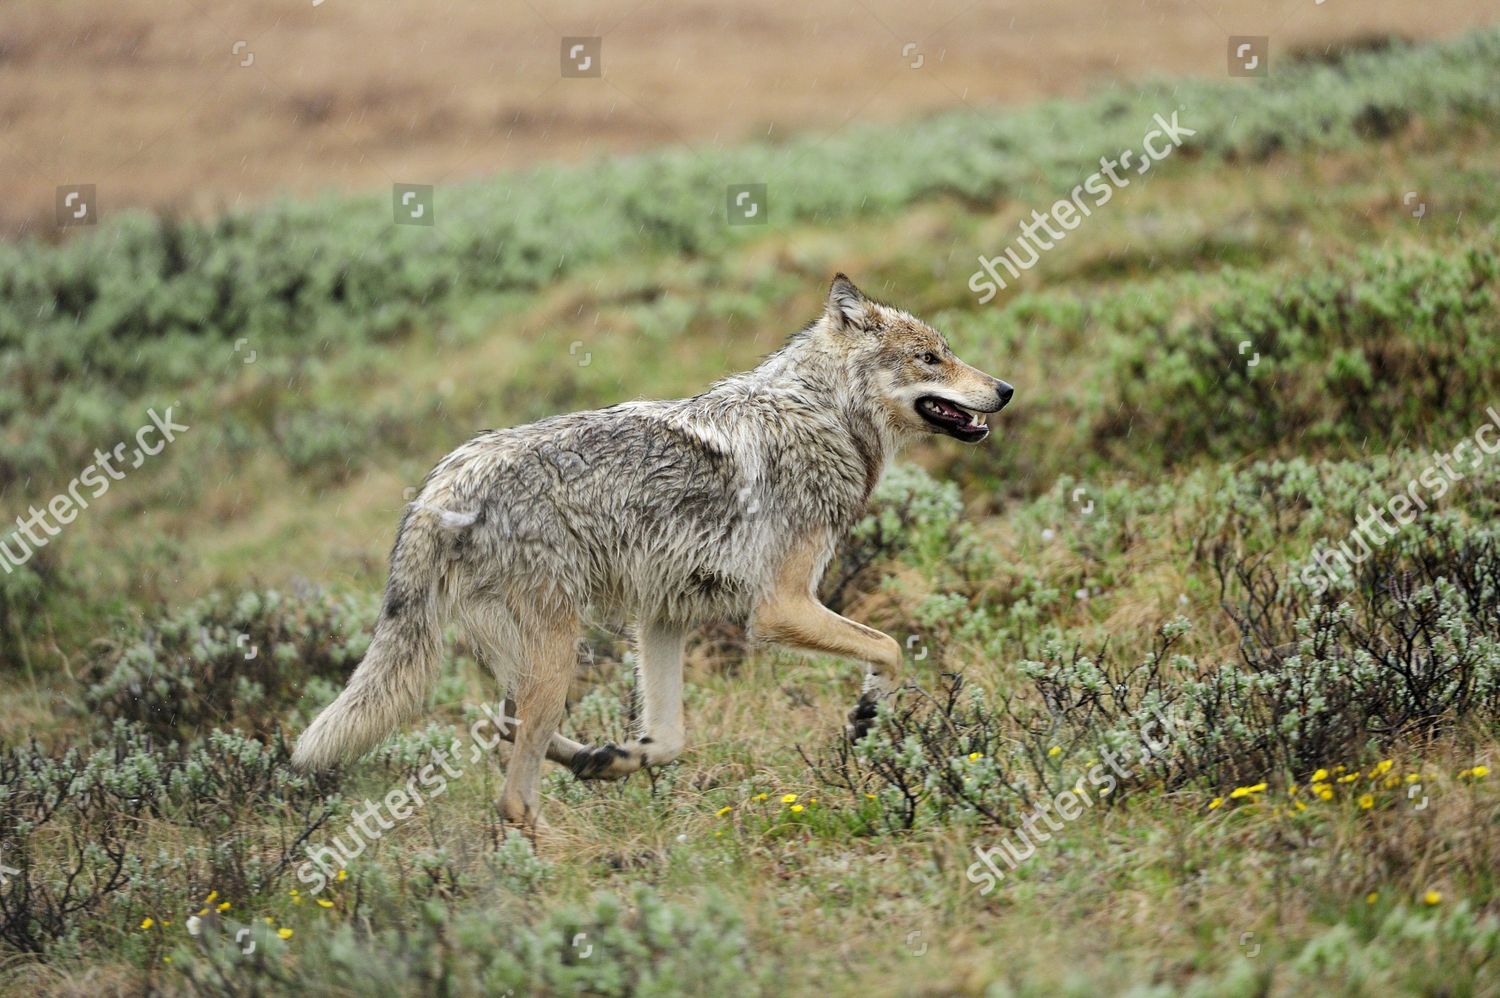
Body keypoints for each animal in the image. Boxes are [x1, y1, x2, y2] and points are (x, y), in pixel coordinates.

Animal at [292, 275, 1012, 829]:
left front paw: (619, 758)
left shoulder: (662, 618)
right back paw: (562, 867)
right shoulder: (779, 609)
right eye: (930, 358)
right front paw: (865, 715)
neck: (821, 417)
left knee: (505, 731)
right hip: (559, 656)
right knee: (513, 796)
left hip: (535, 662)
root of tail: (440, 485)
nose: (1004, 389)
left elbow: (667, 739)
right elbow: (889, 647)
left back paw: (589, 762)